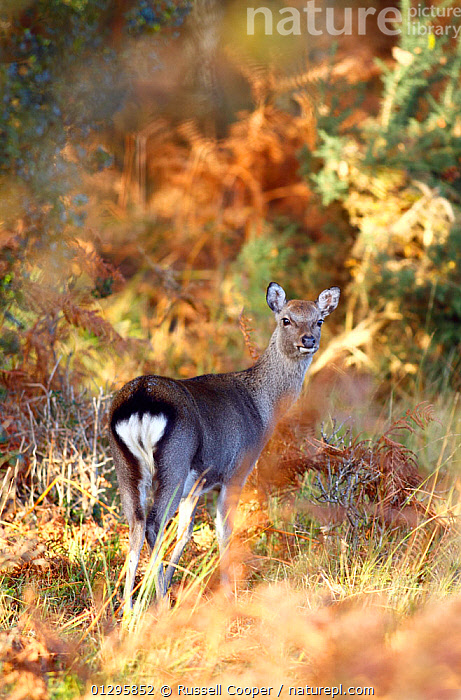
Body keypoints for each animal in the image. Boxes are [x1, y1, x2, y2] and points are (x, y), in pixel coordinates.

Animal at [109, 283, 340, 610]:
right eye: (286, 319)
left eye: (319, 320)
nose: (308, 340)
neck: (262, 410)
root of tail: (140, 398)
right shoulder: (237, 469)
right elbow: (225, 530)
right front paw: (230, 594)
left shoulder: (197, 483)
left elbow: (186, 533)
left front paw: (169, 585)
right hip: (174, 460)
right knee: (153, 522)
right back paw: (160, 604)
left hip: (126, 463)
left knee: (135, 523)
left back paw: (130, 607)